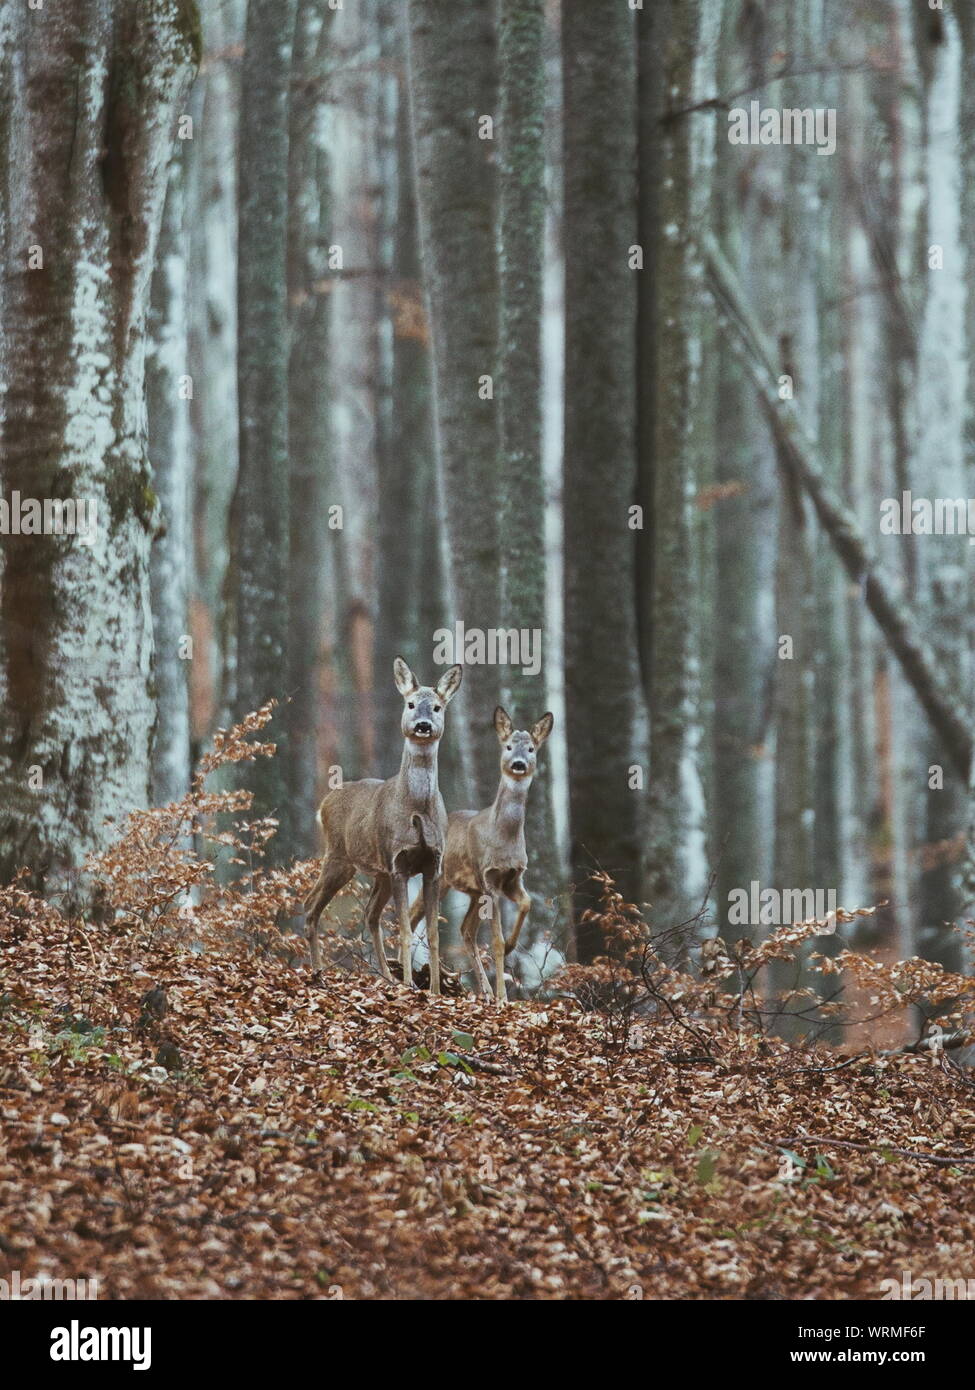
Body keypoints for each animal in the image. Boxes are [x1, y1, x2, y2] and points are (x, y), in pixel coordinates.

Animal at [304, 657, 463, 993]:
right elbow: (404, 929)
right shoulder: (398, 862)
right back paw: (319, 973)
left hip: (378, 872)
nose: (423, 725)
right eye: (410, 703)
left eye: (438, 707)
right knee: (312, 907)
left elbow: (432, 934)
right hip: (339, 857)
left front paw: (434, 990)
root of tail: (323, 806)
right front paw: (412, 984)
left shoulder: (433, 866)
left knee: (370, 914)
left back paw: (387, 976)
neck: (416, 810)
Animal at [410, 706, 553, 1004]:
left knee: (465, 930)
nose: (519, 763)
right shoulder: (488, 879)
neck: (502, 837)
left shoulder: (512, 878)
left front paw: (511, 947)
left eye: (531, 748)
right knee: (415, 915)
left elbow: (526, 904)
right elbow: (495, 940)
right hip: (441, 878)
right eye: (508, 746)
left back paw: (483, 992)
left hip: (472, 891)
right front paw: (503, 996)